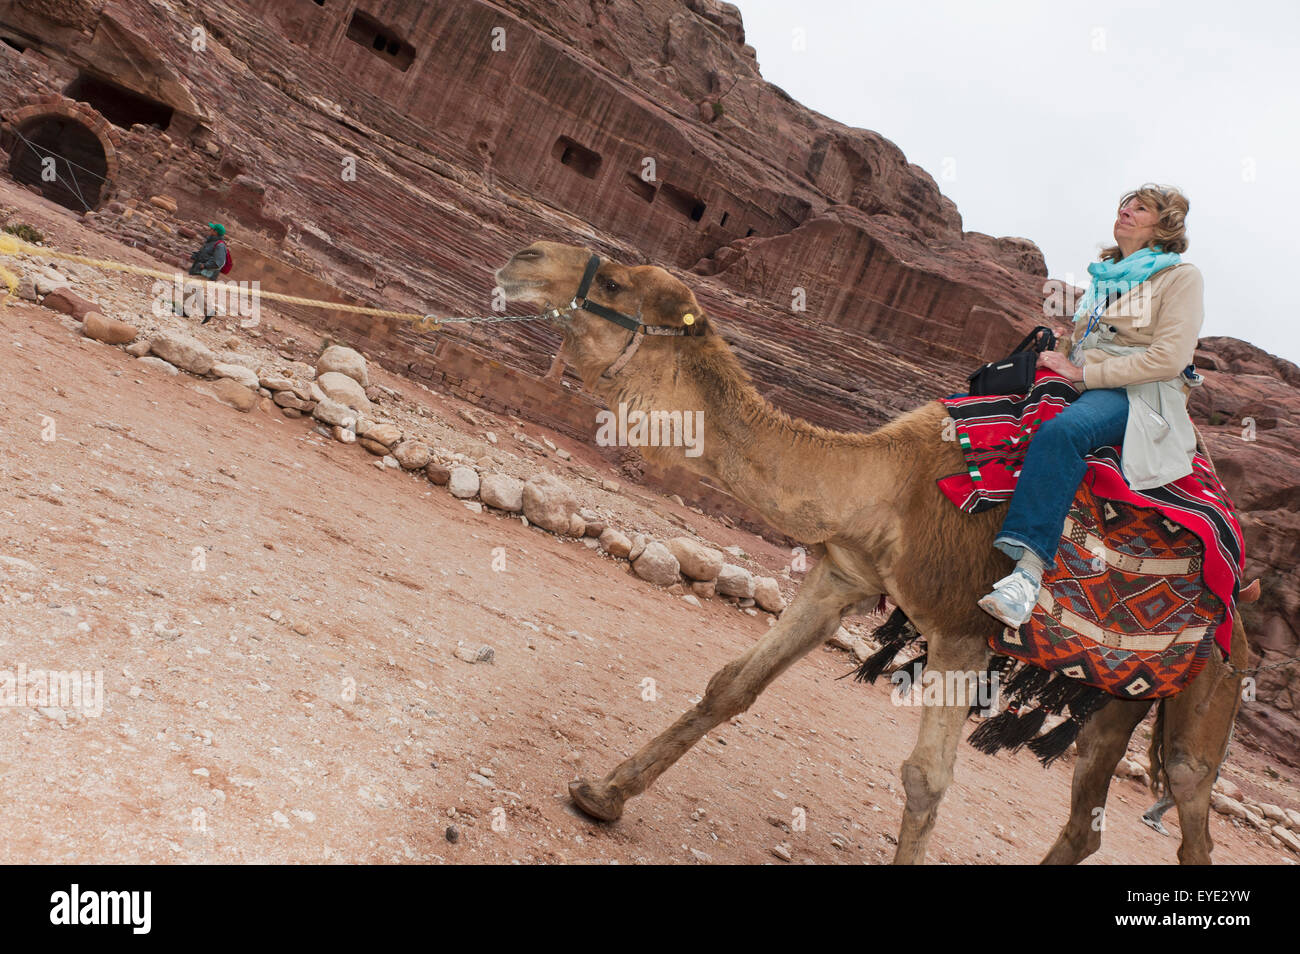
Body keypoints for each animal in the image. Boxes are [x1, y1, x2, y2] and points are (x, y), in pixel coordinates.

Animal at [495, 240, 1251, 864]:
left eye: (614, 283)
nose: (522, 257)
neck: (888, 485)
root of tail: (1240, 606)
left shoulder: (961, 631)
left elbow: (925, 781)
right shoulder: (842, 573)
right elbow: (731, 684)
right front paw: (602, 795)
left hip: (1207, 691)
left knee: (1191, 810)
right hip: (1117, 696)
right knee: (1086, 814)